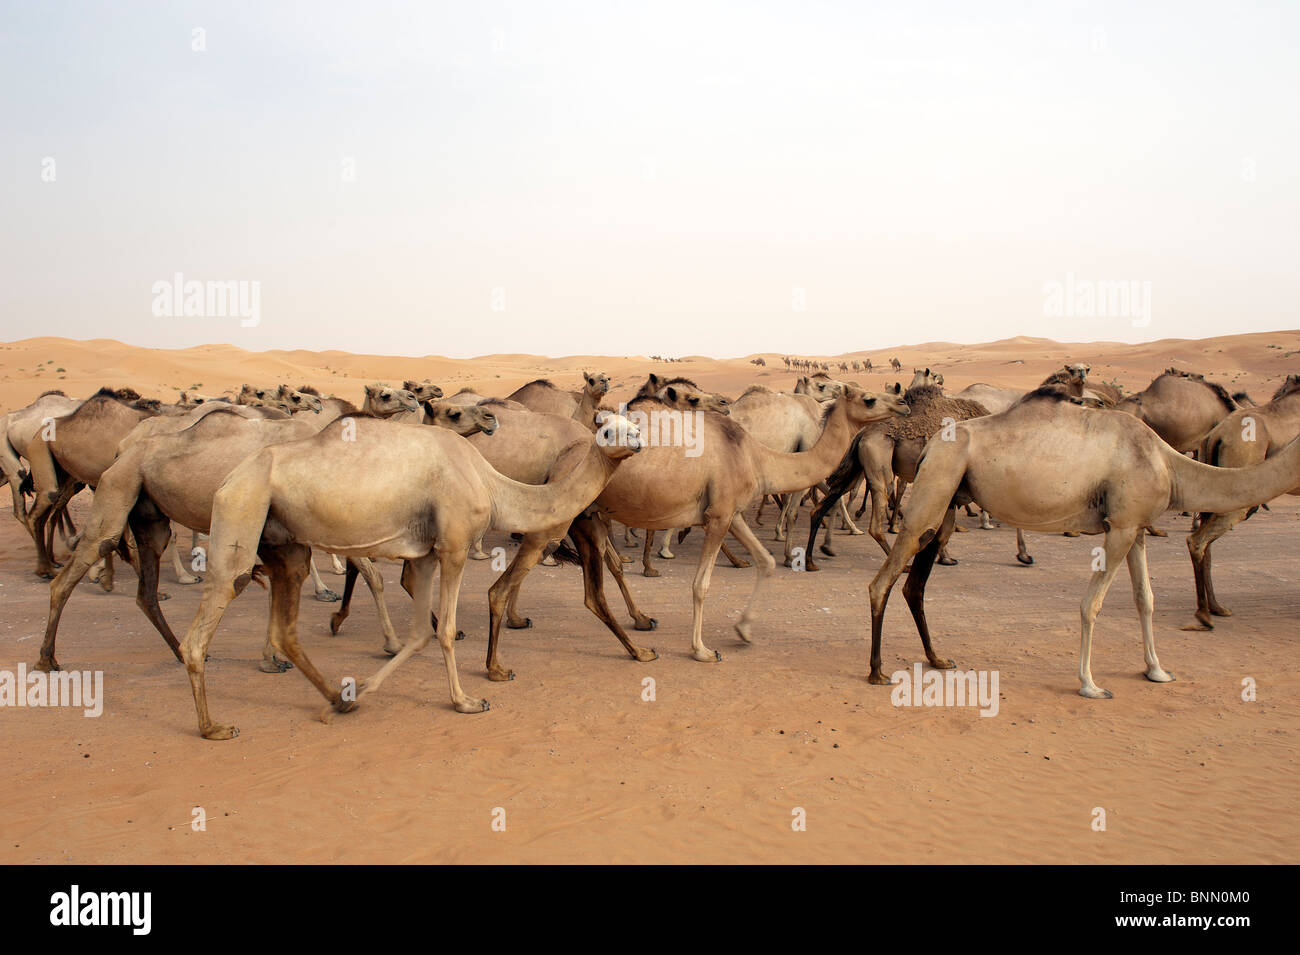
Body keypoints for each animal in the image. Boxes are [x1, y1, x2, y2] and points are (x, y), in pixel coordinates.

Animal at [177, 412, 643, 739]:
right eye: (607, 431)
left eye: (633, 427)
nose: (636, 441)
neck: (491, 485)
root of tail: (228, 479)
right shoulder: (453, 547)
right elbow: (446, 629)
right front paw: (467, 701)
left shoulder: (425, 555)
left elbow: (420, 633)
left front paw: (363, 690)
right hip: (242, 512)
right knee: (206, 622)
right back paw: (213, 727)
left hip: (285, 545)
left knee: (284, 628)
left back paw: (337, 700)